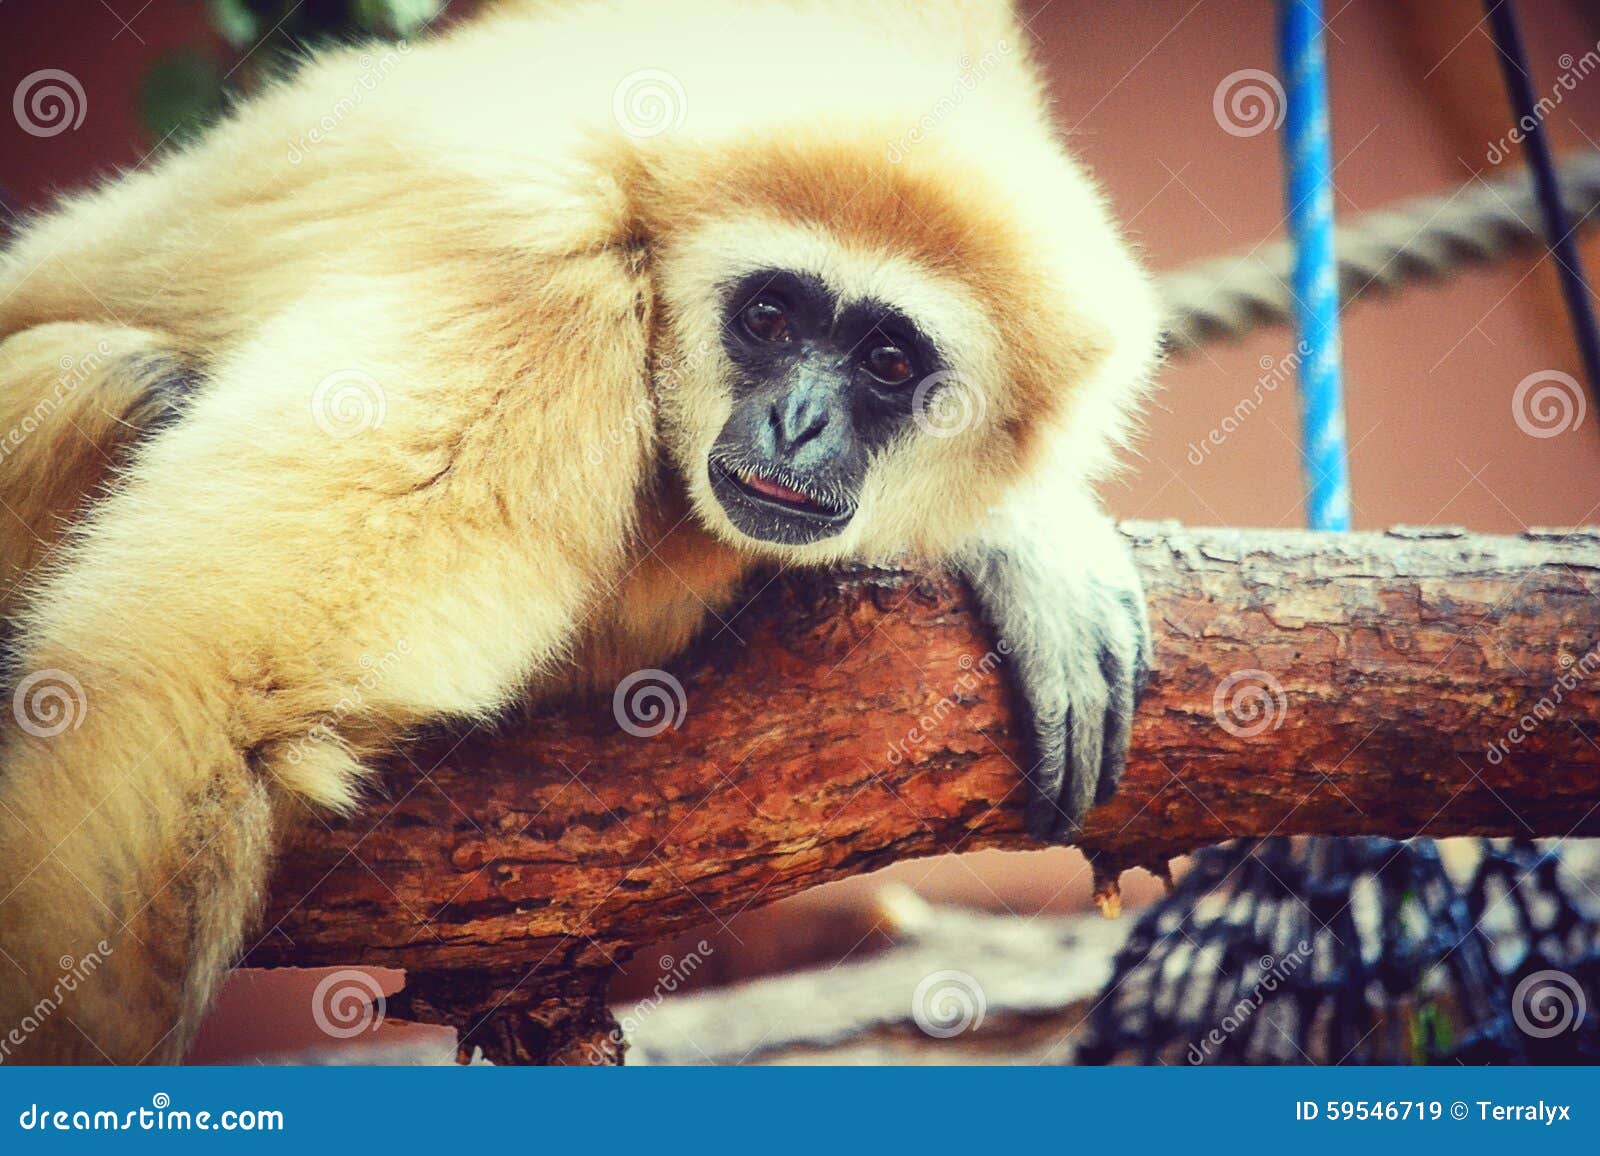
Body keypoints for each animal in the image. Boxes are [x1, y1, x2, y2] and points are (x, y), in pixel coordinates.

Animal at [0, 0, 1160, 1063]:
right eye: (770, 316)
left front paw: (1033, 542)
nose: (797, 421)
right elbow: (197, 680)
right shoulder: (540, 288)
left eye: (886, 359)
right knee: (129, 378)